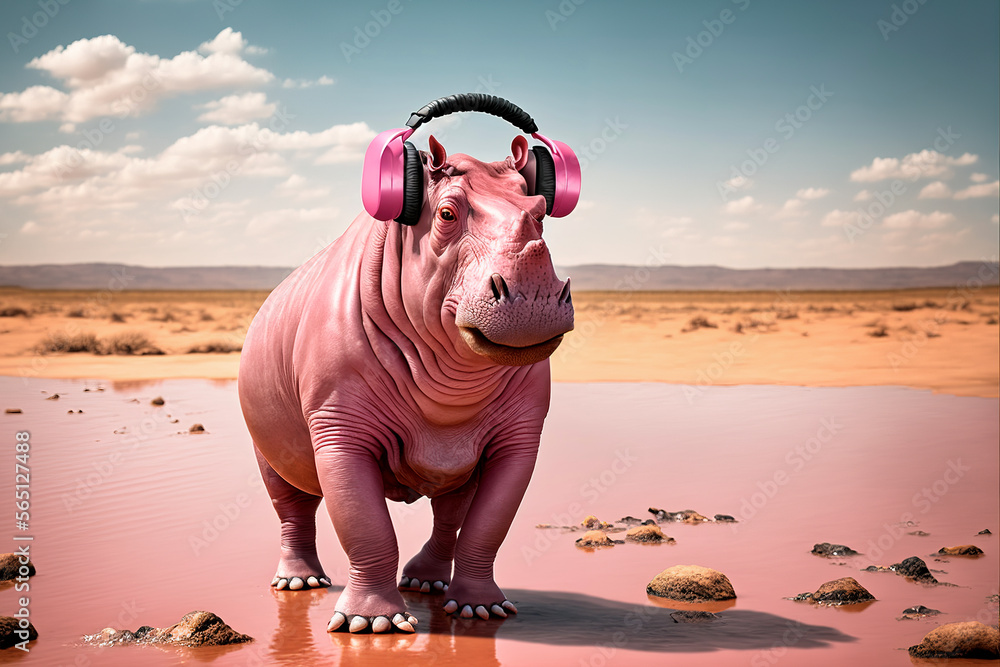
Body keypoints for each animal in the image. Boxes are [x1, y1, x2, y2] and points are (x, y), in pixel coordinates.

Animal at [238, 124, 575, 633]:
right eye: (446, 214)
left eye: (541, 213)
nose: (532, 299)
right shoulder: (338, 425)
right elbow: (364, 521)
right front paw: (370, 626)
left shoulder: (520, 435)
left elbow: (490, 522)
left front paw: (482, 611)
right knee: (287, 490)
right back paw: (299, 584)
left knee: (452, 504)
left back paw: (426, 586)